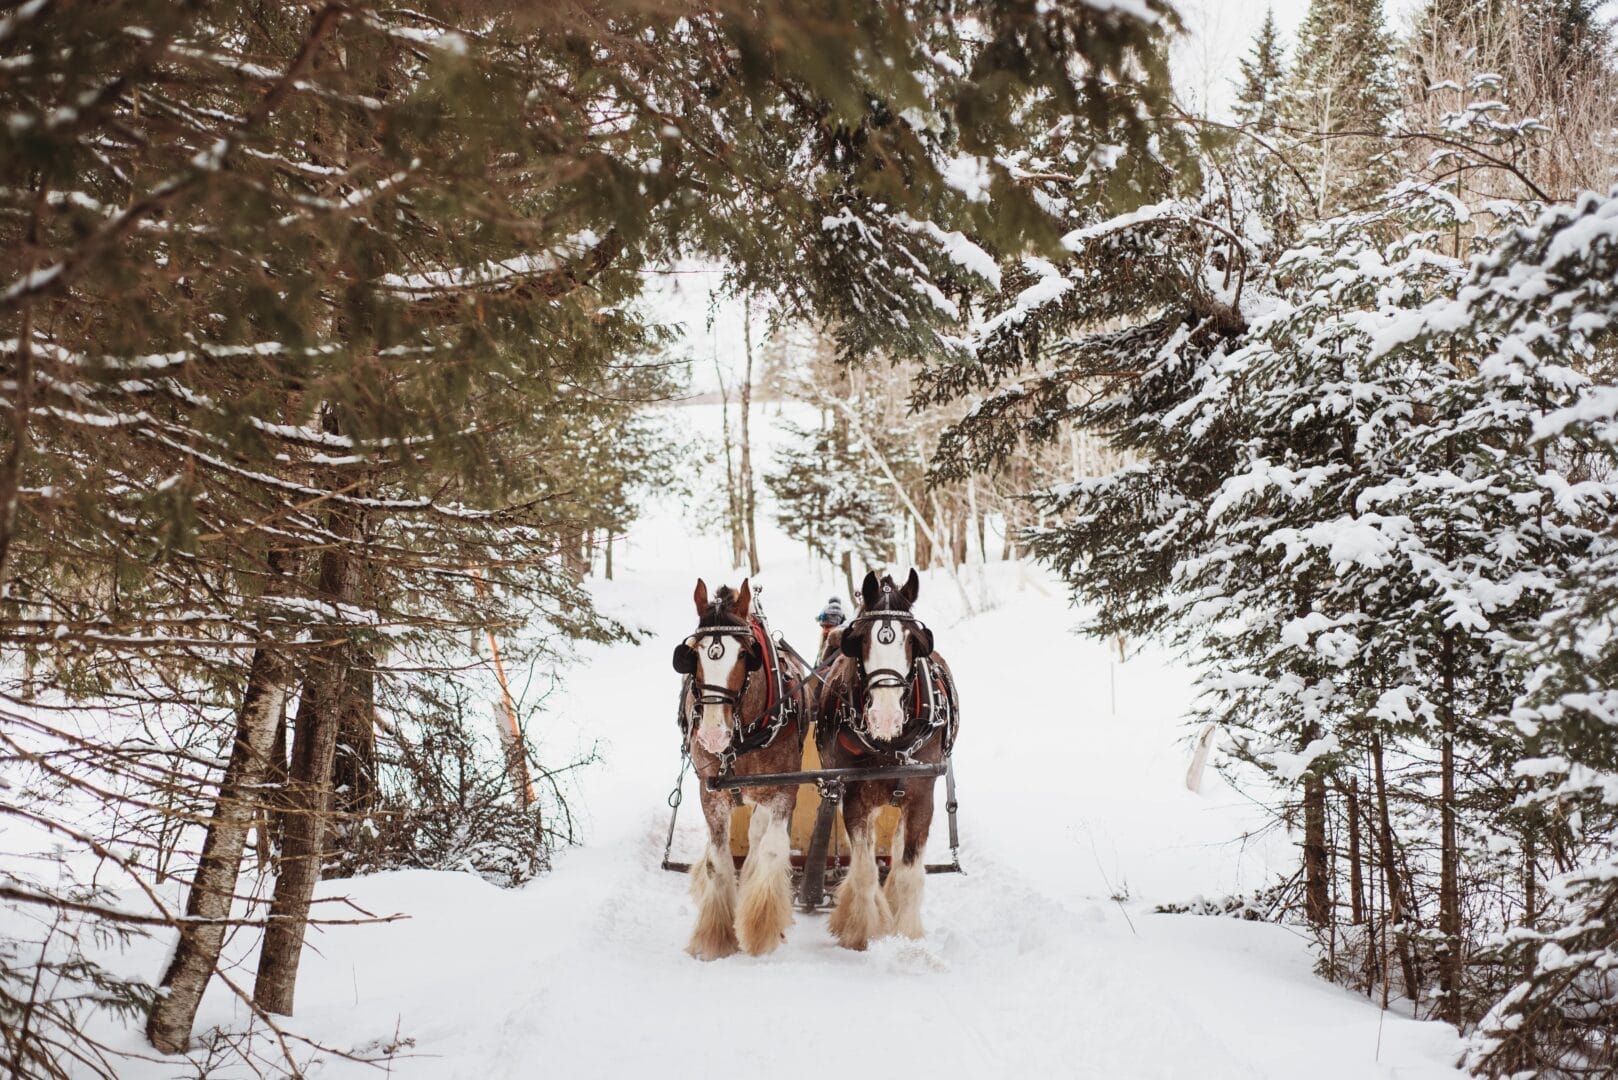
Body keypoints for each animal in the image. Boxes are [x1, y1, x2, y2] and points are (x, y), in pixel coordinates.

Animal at [671, 578, 811, 959]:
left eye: (745, 655)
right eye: (693, 655)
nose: (713, 734)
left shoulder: (783, 790)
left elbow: (772, 848)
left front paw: (761, 927)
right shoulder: (710, 793)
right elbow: (717, 861)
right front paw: (715, 937)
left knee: (759, 839)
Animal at [816, 568, 959, 950]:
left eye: (913, 642)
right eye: (861, 640)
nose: (885, 717)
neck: (889, 745)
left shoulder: (922, 797)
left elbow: (909, 869)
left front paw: (907, 933)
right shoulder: (854, 797)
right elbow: (864, 868)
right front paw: (860, 930)